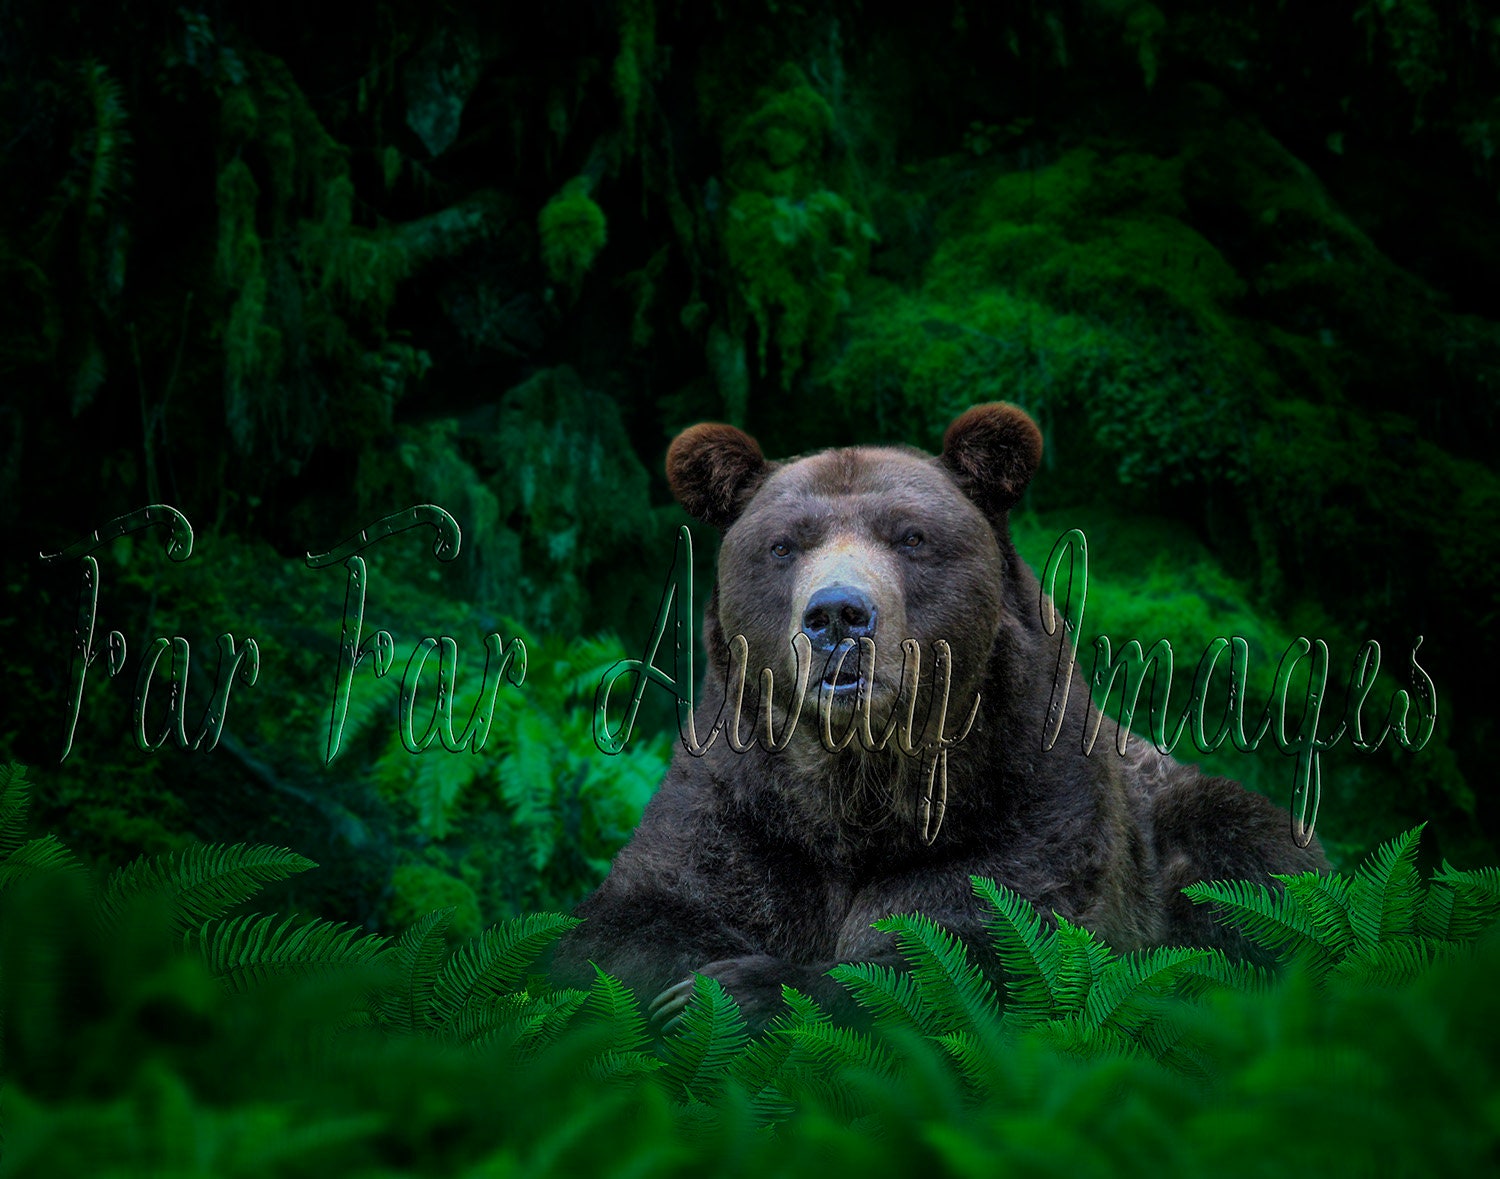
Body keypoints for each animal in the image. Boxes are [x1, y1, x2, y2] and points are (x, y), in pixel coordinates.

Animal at [553, 402, 1328, 1030]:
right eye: (782, 545)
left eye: (911, 536)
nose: (838, 614)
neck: (860, 780)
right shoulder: (737, 802)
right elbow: (638, 920)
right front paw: (685, 988)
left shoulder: (1024, 795)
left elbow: (981, 941)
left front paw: (752, 989)